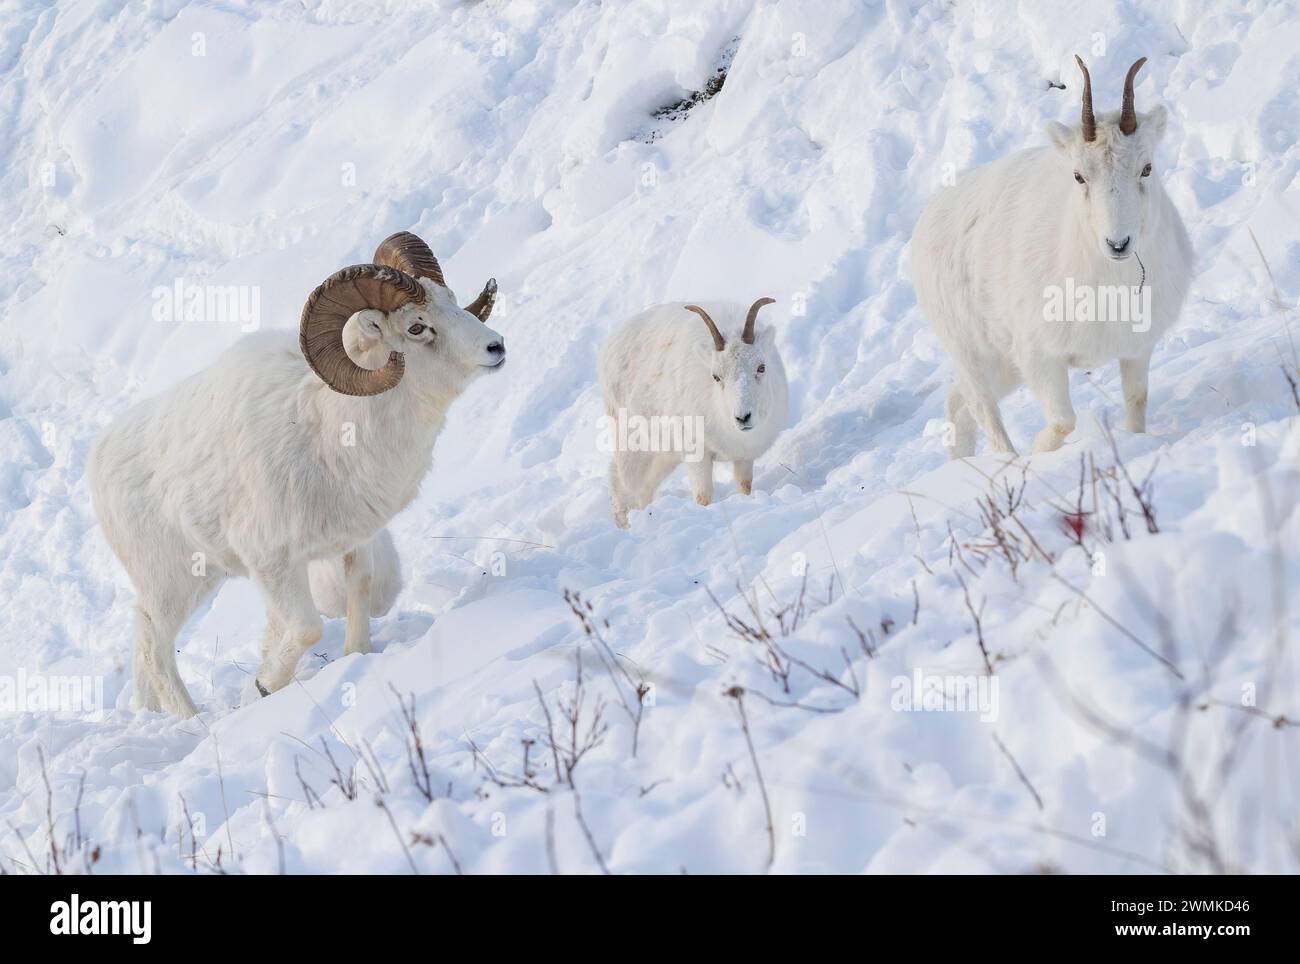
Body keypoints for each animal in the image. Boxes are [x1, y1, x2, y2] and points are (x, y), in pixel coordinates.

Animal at [88, 233, 504, 716]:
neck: (332, 431)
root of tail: (98, 459)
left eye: (452, 301)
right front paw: (263, 688)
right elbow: (307, 628)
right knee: (154, 647)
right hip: (175, 584)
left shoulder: (350, 545)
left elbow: (357, 596)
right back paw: (192, 721)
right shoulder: (274, 563)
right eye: (418, 328)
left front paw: (354, 657)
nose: (496, 347)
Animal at [598, 299, 788, 528]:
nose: (743, 418)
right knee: (620, 481)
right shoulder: (697, 455)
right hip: (635, 448)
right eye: (716, 376)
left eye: (761, 367)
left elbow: (745, 486)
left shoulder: (743, 458)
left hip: (663, 455)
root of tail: (607, 349)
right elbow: (703, 497)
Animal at [911, 56, 1193, 456]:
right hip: (971, 352)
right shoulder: (1040, 358)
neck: (1110, 288)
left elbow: (1136, 403)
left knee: (957, 403)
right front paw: (1039, 455)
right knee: (981, 408)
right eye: (1078, 176)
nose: (1118, 244)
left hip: (1002, 364)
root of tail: (926, 220)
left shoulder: (1136, 351)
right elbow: (1063, 422)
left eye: (1147, 168)